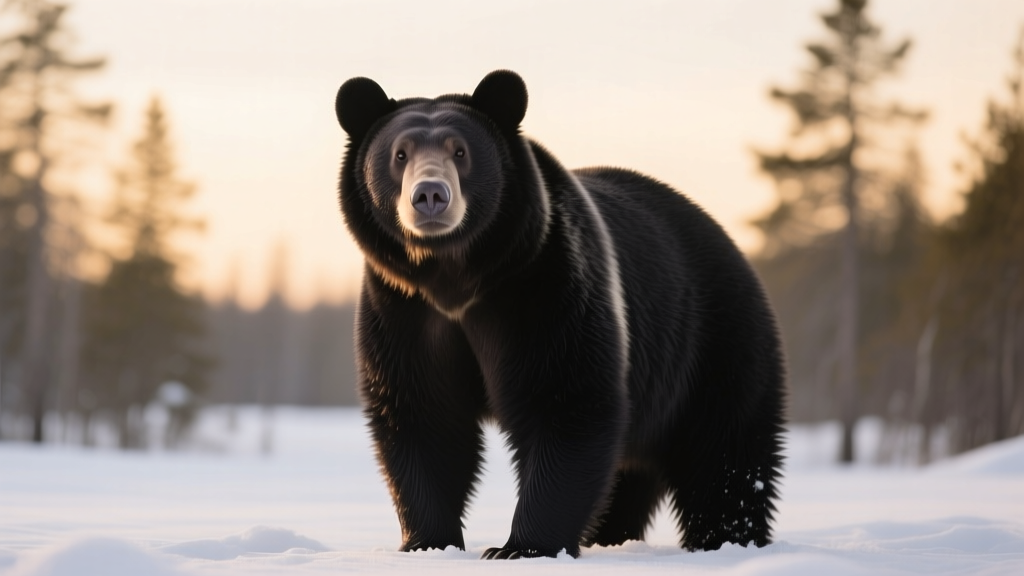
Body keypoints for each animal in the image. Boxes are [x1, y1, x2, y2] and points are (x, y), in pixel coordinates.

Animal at [334, 70, 785, 559]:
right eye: (400, 154)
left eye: (460, 151)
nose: (430, 195)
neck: (456, 278)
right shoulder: (403, 312)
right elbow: (423, 416)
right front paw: (428, 542)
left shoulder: (545, 287)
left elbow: (565, 400)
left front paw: (520, 546)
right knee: (629, 476)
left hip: (712, 347)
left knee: (725, 457)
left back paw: (728, 540)